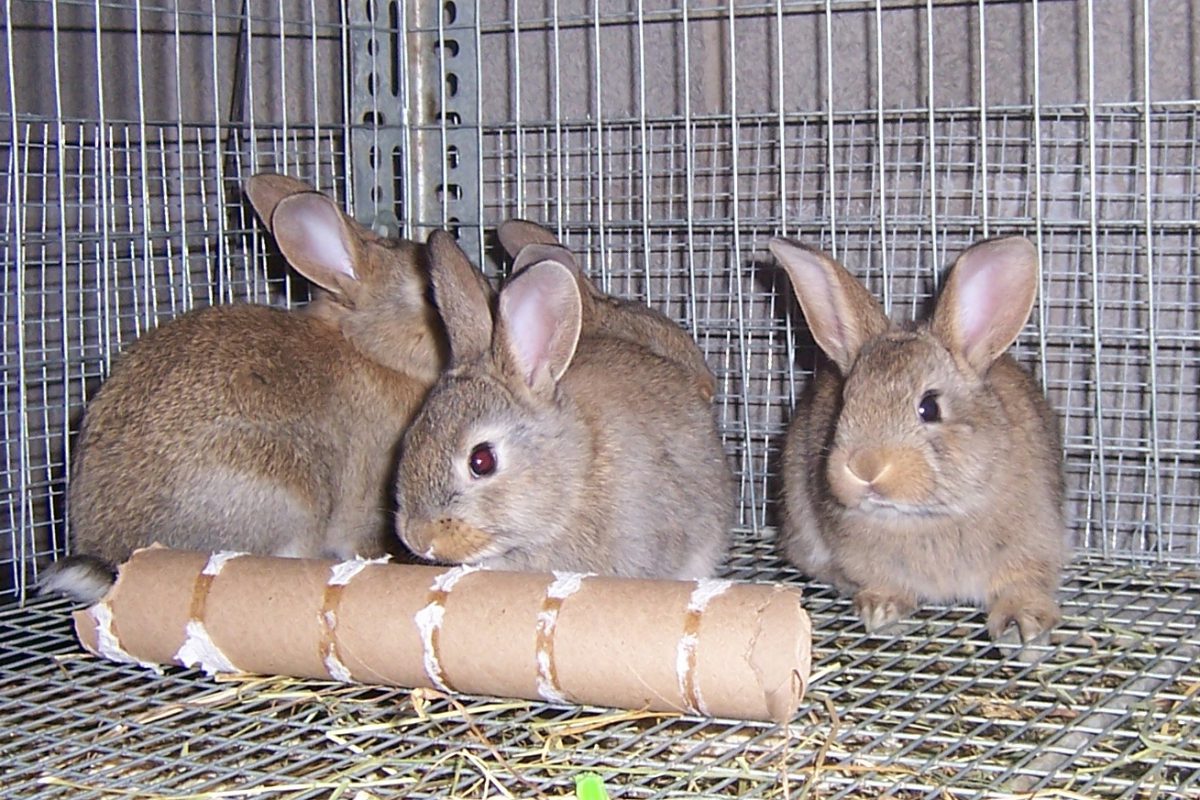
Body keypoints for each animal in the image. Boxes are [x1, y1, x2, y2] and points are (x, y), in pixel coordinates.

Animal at [770, 235, 1067, 642]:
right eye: (845, 401)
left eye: (929, 407)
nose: (865, 466)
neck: (924, 517)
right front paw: (880, 609)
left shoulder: (1033, 545)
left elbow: (1022, 583)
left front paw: (1023, 624)